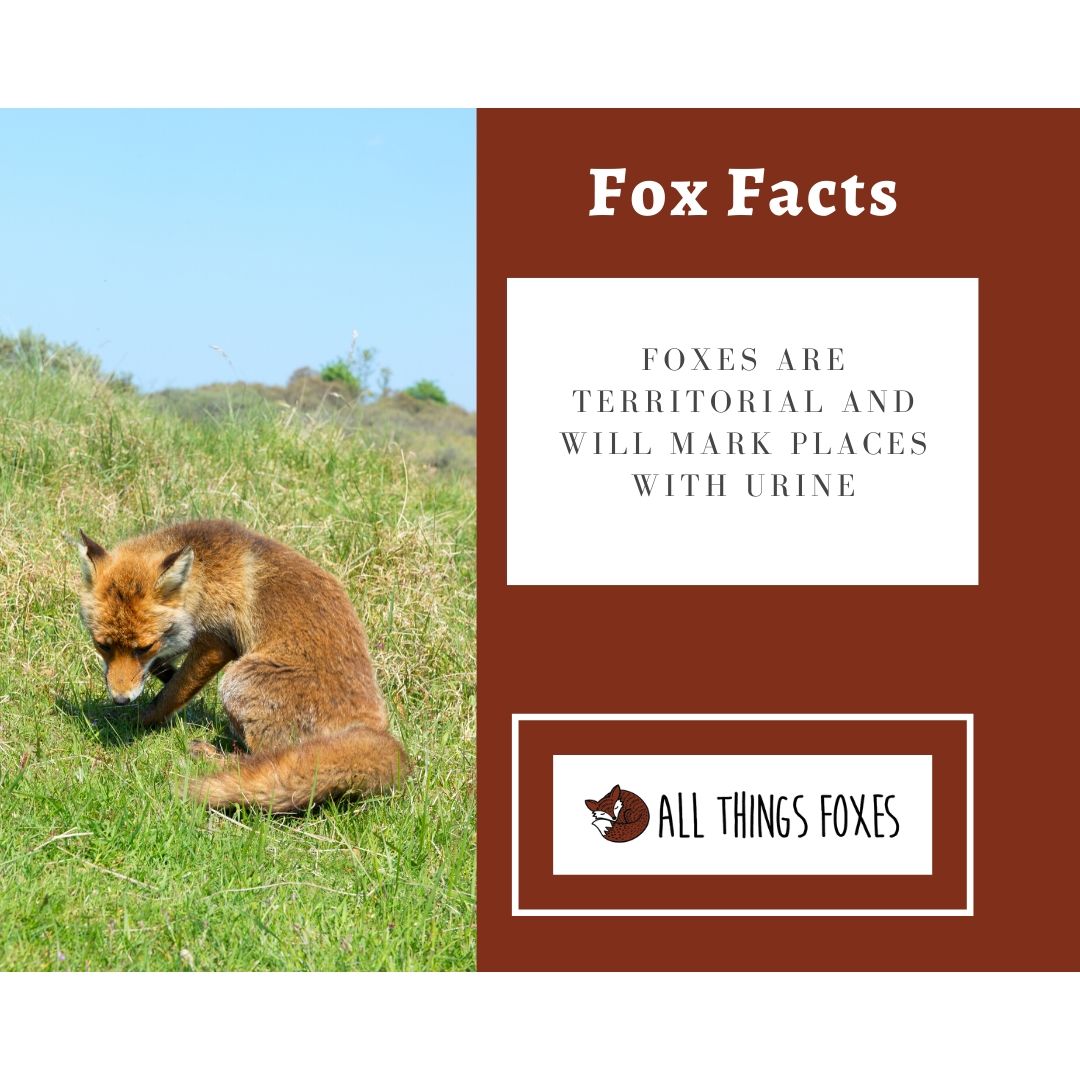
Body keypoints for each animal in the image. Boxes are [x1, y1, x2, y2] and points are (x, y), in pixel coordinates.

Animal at [75, 518, 410, 812]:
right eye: (103, 645)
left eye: (143, 647)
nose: (120, 700)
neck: (204, 573)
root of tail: (374, 730)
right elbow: (165, 673)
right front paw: (161, 677)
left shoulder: (216, 644)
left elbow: (171, 695)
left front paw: (137, 722)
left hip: (237, 681)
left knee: (261, 759)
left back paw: (211, 756)